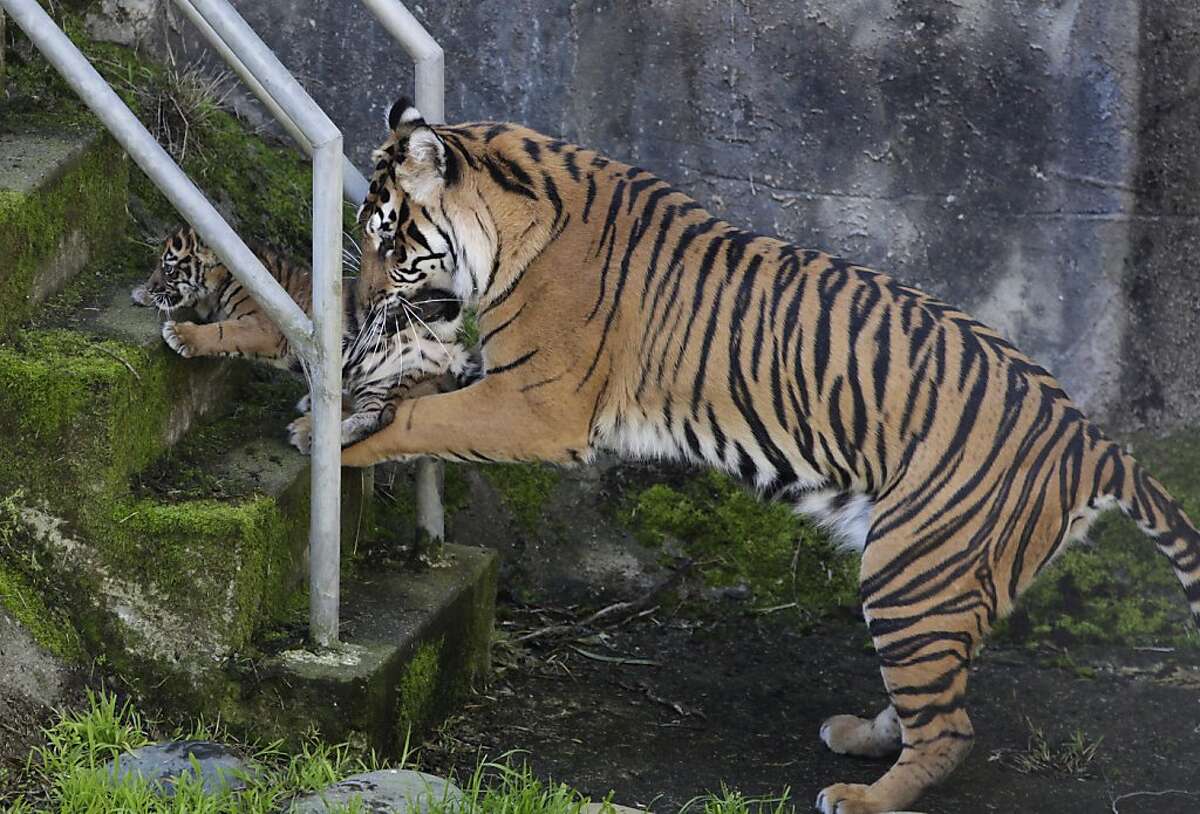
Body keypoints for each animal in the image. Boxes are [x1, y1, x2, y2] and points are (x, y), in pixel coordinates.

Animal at [132, 226, 479, 451]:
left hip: (383, 373)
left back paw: (311, 435)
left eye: (169, 269)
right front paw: (143, 294)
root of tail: (450, 342)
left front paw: (180, 334)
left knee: (378, 416)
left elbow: (223, 333)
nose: (153, 284)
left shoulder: (265, 328)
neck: (220, 283)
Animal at [337, 98, 1200, 814]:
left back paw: (862, 798)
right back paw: (863, 735)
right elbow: (425, 392)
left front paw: (339, 434)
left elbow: (425, 418)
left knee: (950, 728)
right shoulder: (509, 389)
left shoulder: (535, 405)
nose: (355, 303)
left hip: (911, 566)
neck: (506, 217)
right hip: (944, 578)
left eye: (386, 239)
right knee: (936, 692)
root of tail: (1092, 439)